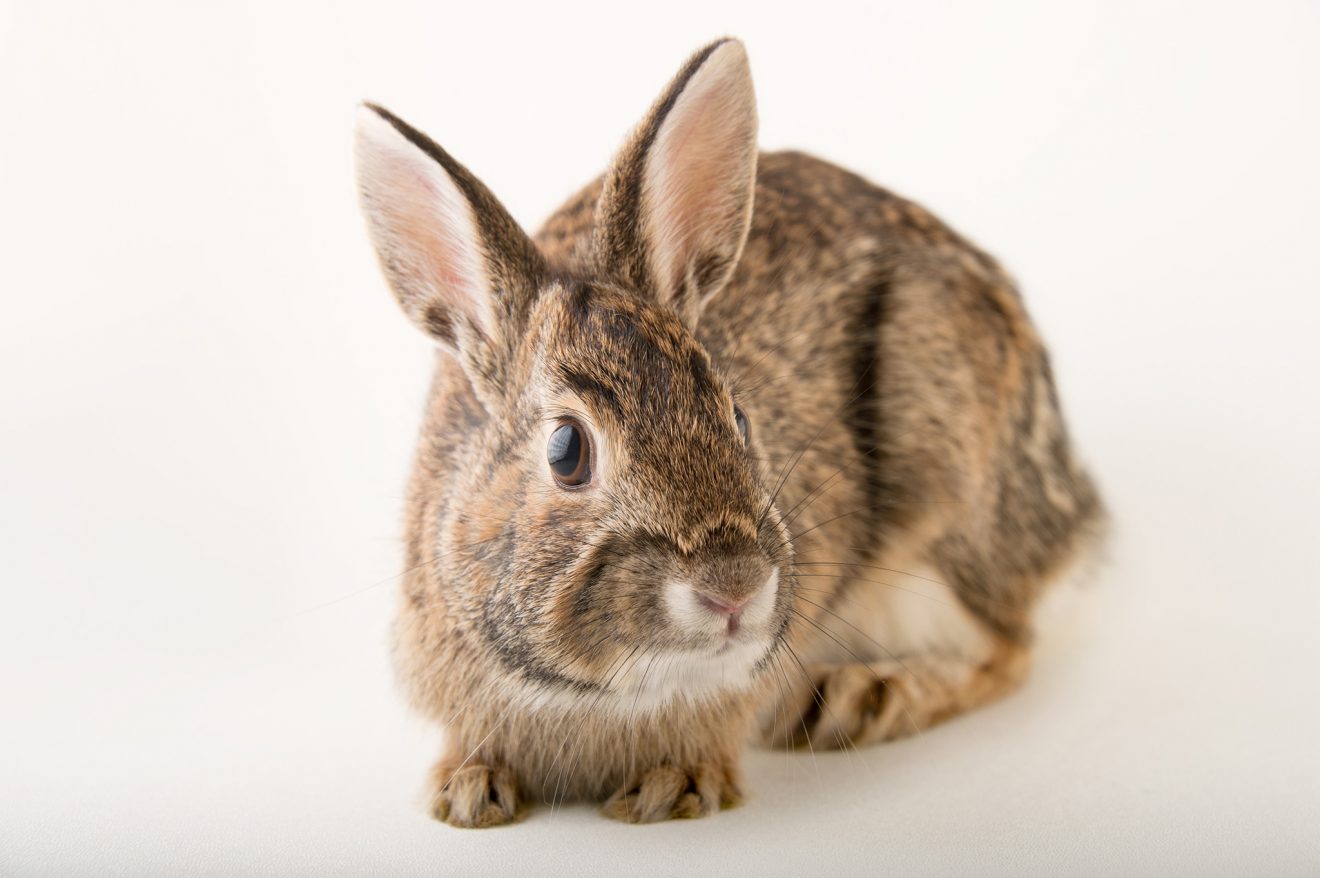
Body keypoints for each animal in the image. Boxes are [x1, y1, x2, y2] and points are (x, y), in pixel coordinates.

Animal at [353, 37, 1104, 828]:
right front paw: (466, 790)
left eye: (737, 416)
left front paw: (673, 786)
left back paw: (861, 698)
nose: (735, 589)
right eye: (566, 451)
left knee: (1008, 648)